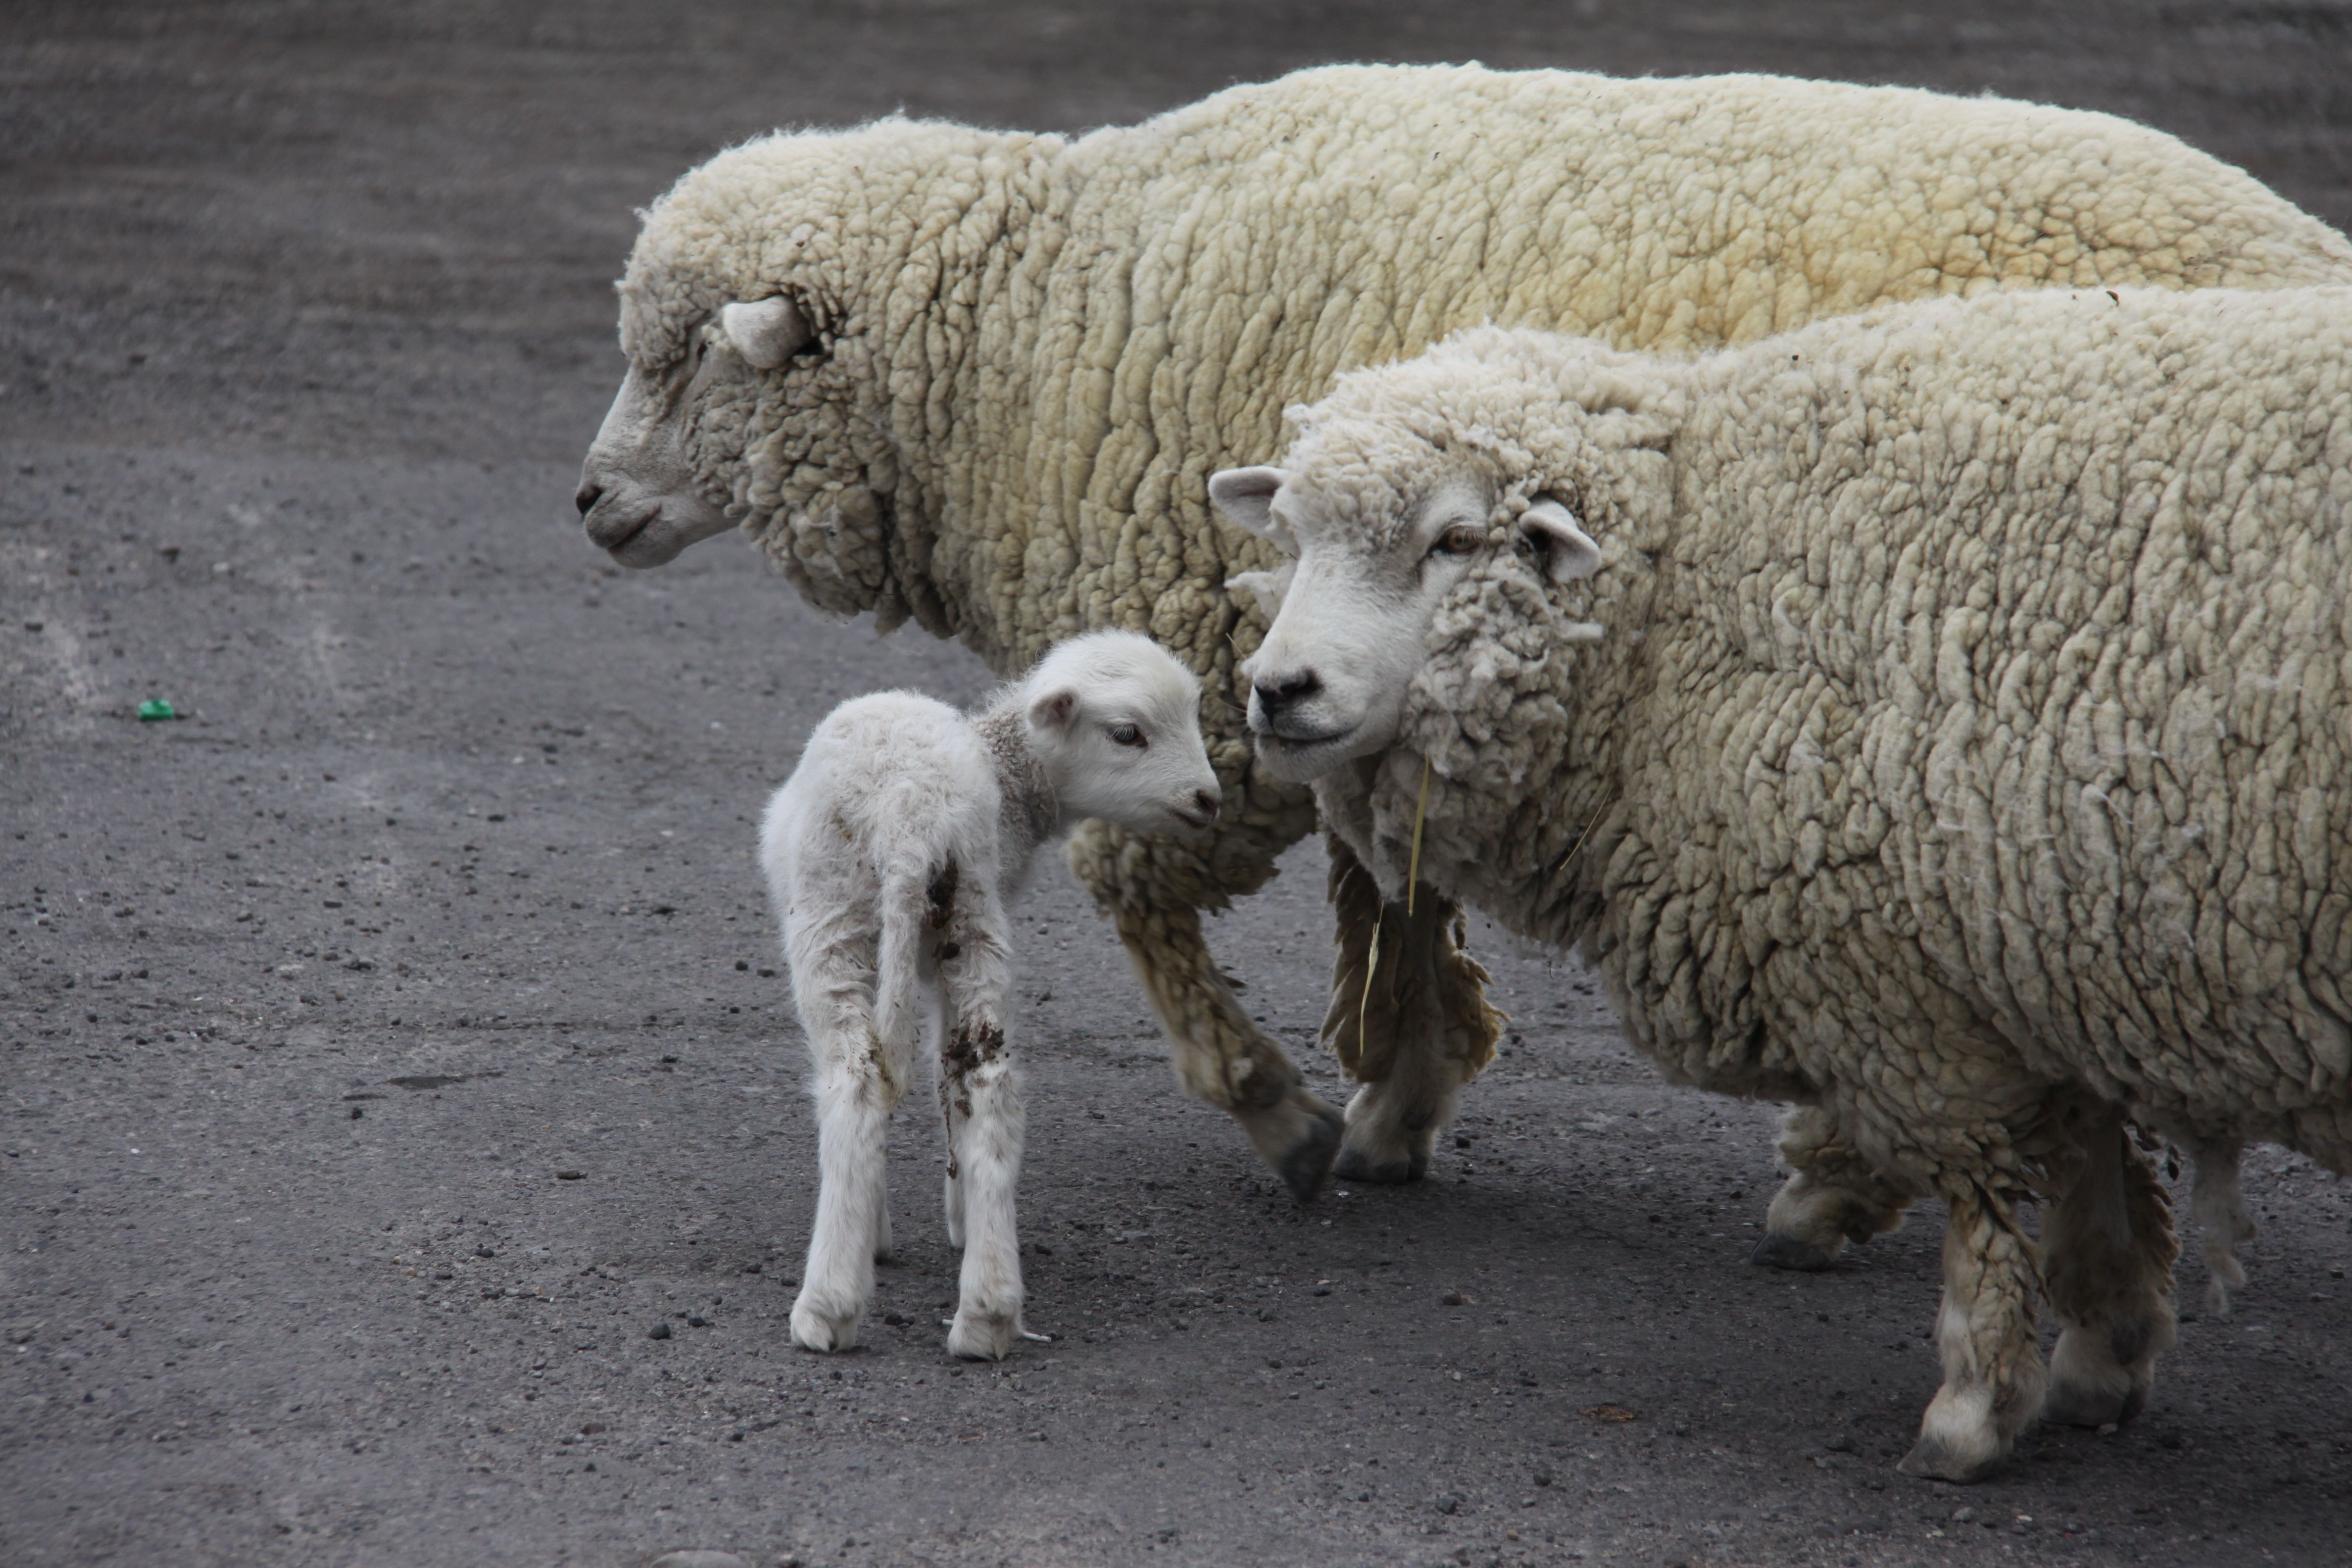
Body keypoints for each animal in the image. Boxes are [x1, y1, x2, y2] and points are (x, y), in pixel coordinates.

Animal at [576, 62, 2352, 1209]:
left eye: (691, 356)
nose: (587, 502)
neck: (1035, 319)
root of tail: (2298, 245)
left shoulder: (1225, 666)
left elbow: (1144, 889)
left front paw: (1287, 1106)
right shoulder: (1359, 686)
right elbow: (1398, 883)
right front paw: (1400, 1083)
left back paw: (1840, 1175)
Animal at [762, 630, 1219, 1360]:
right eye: (1128, 734)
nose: (1209, 799)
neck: (1012, 779)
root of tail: (911, 817)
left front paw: (884, 1234)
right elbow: (946, 1080)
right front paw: (958, 1215)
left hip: (829, 918)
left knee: (856, 1083)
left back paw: (828, 1305)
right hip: (973, 919)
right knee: (989, 1083)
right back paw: (989, 1311)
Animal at [1211, 286, 2352, 1478]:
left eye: (1454, 540)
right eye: (1292, 537)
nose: (1279, 690)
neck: (1680, 593)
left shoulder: (1911, 986)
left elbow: (1982, 1199)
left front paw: (1975, 1404)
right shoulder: (2035, 947)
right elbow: (2090, 1157)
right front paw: (2107, 1347)